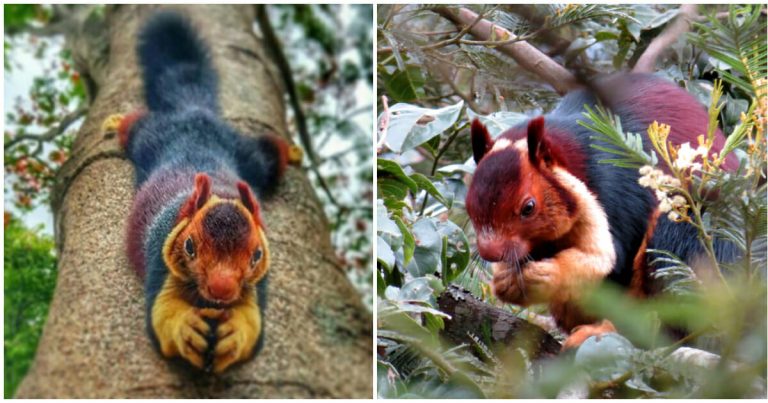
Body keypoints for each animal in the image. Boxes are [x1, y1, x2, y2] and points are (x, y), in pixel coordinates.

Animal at [104, 12, 301, 373]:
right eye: (190, 246)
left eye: (256, 254)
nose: (221, 289)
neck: (223, 195)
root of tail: (196, 115)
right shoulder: (160, 252)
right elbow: (161, 313)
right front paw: (186, 329)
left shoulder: (259, 281)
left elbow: (253, 321)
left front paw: (234, 334)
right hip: (152, 136)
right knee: (137, 126)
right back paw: (118, 121)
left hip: (250, 156)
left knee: (269, 153)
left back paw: (291, 151)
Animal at [465, 73, 739, 345]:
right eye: (469, 205)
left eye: (528, 207)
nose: (489, 252)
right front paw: (506, 280)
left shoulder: (618, 191)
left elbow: (610, 259)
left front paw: (546, 276)